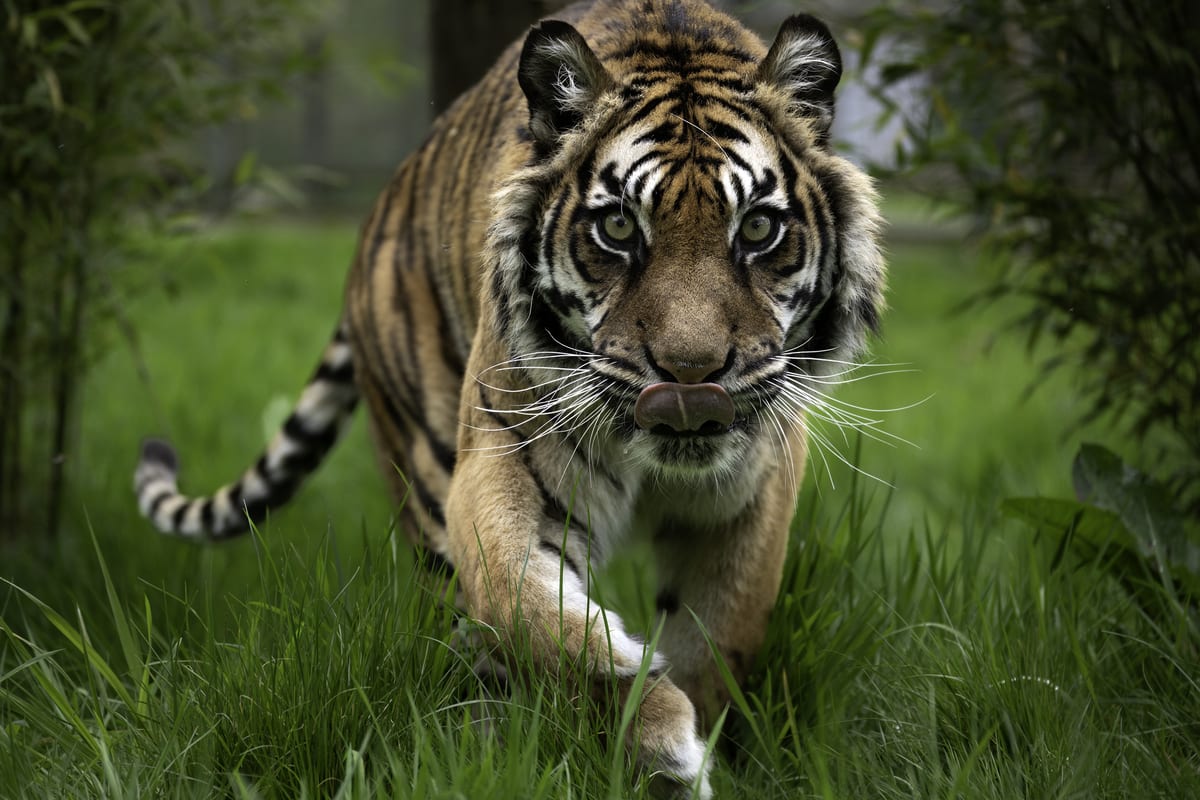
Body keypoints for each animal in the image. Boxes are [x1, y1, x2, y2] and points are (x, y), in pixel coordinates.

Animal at [133, 1, 885, 796]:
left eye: (759, 227)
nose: (690, 376)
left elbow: (718, 634)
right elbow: (521, 603)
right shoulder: (501, 463)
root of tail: (385, 203)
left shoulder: (754, 494)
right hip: (426, 473)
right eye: (618, 226)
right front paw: (646, 719)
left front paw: (686, 746)